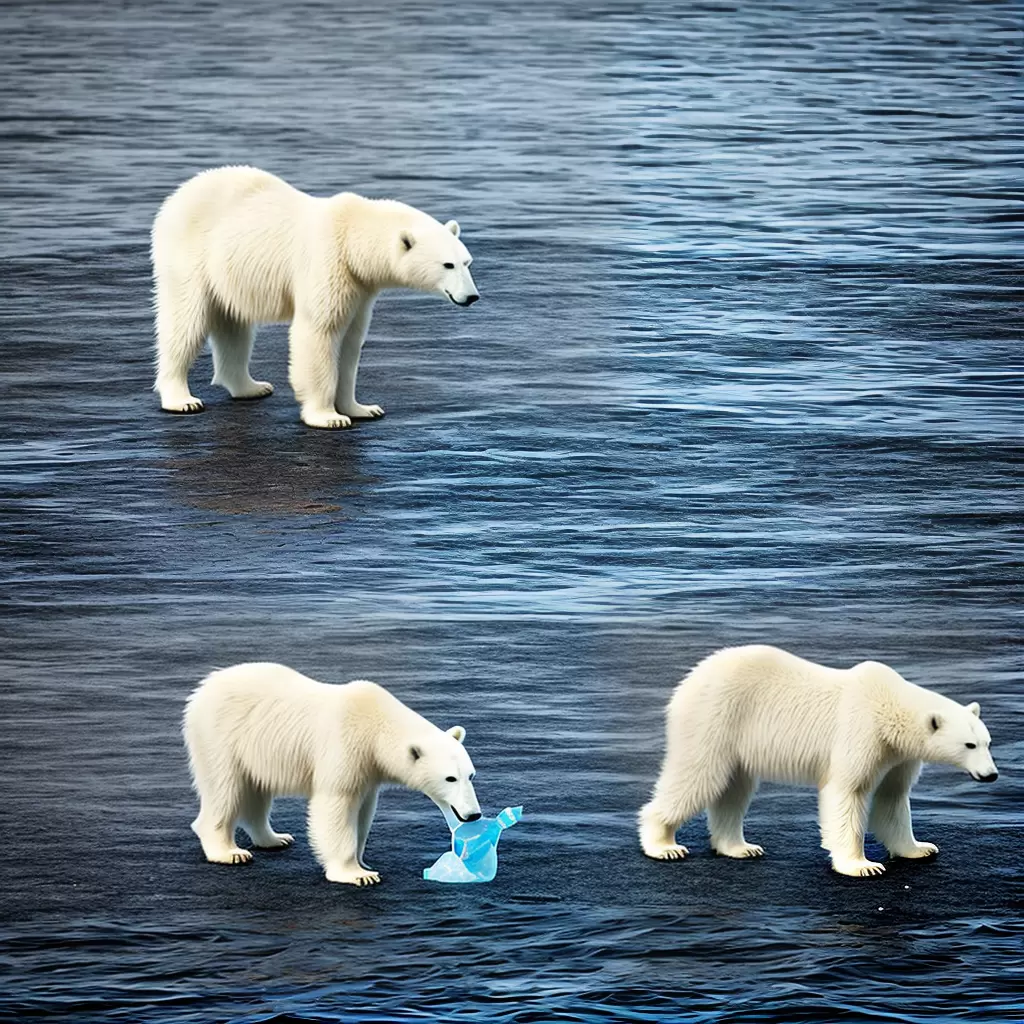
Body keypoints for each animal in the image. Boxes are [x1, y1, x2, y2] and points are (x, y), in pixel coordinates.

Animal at [151, 166, 479, 428]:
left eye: (467, 262)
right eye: (447, 265)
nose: (472, 296)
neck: (352, 237)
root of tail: (179, 194)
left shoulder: (360, 288)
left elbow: (351, 343)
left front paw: (362, 408)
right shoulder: (329, 264)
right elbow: (320, 333)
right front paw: (329, 417)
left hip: (229, 272)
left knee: (235, 325)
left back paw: (250, 387)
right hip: (190, 255)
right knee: (185, 321)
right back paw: (181, 398)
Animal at [182, 662, 480, 886]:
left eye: (470, 775)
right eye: (450, 778)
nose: (474, 814)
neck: (376, 726)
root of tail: (206, 685)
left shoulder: (369, 770)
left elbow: (364, 813)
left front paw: (362, 861)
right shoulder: (346, 749)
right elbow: (336, 806)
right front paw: (357, 874)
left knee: (257, 791)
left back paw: (274, 838)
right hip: (221, 735)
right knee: (224, 787)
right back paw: (228, 851)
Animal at [638, 645, 998, 877]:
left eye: (987, 742)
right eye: (969, 744)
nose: (991, 775)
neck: (889, 707)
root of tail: (691, 678)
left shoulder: (897, 755)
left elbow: (892, 799)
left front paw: (919, 848)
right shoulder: (862, 733)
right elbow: (848, 793)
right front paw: (862, 866)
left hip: (736, 743)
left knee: (734, 789)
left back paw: (739, 846)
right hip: (714, 720)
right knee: (698, 777)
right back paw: (663, 845)